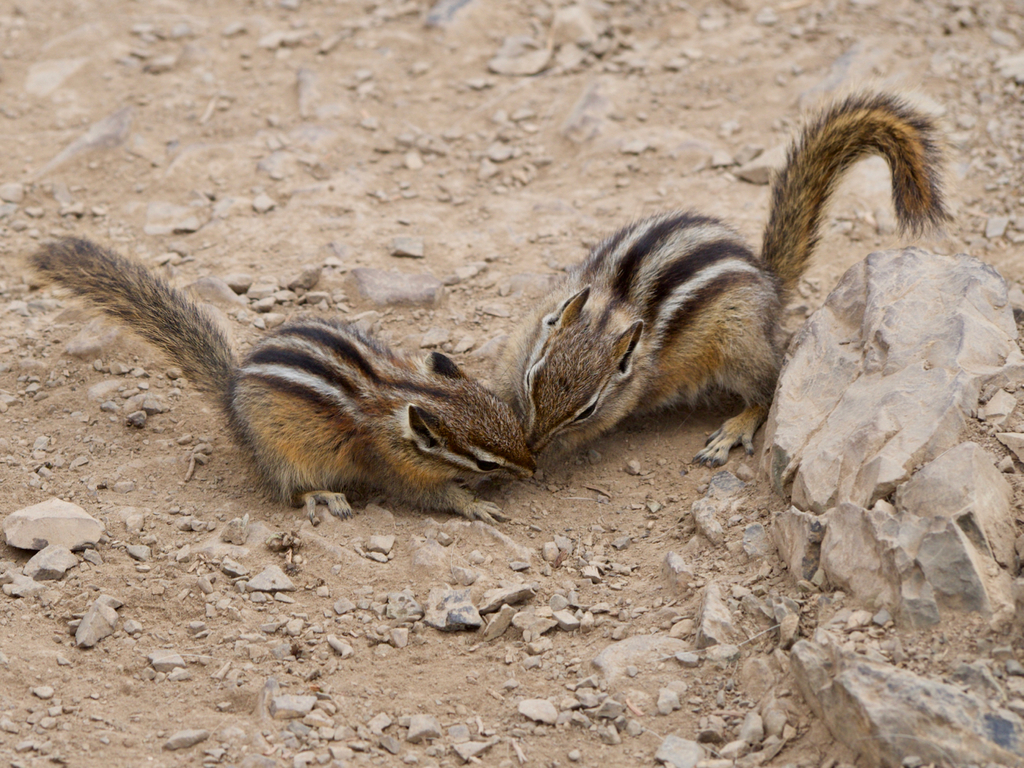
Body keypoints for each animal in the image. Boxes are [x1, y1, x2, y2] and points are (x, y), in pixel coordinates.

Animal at [30, 238, 535, 524]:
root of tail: (232, 394)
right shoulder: (391, 464)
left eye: (508, 414)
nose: (532, 468)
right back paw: (323, 498)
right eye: (486, 463)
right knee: (289, 493)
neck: (403, 392)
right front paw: (473, 504)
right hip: (283, 457)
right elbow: (431, 494)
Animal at [495, 91, 951, 466]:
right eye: (533, 376)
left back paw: (734, 429)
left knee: (768, 388)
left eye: (587, 409)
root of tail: (767, 278)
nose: (533, 442)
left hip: (738, 345)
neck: (612, 306)